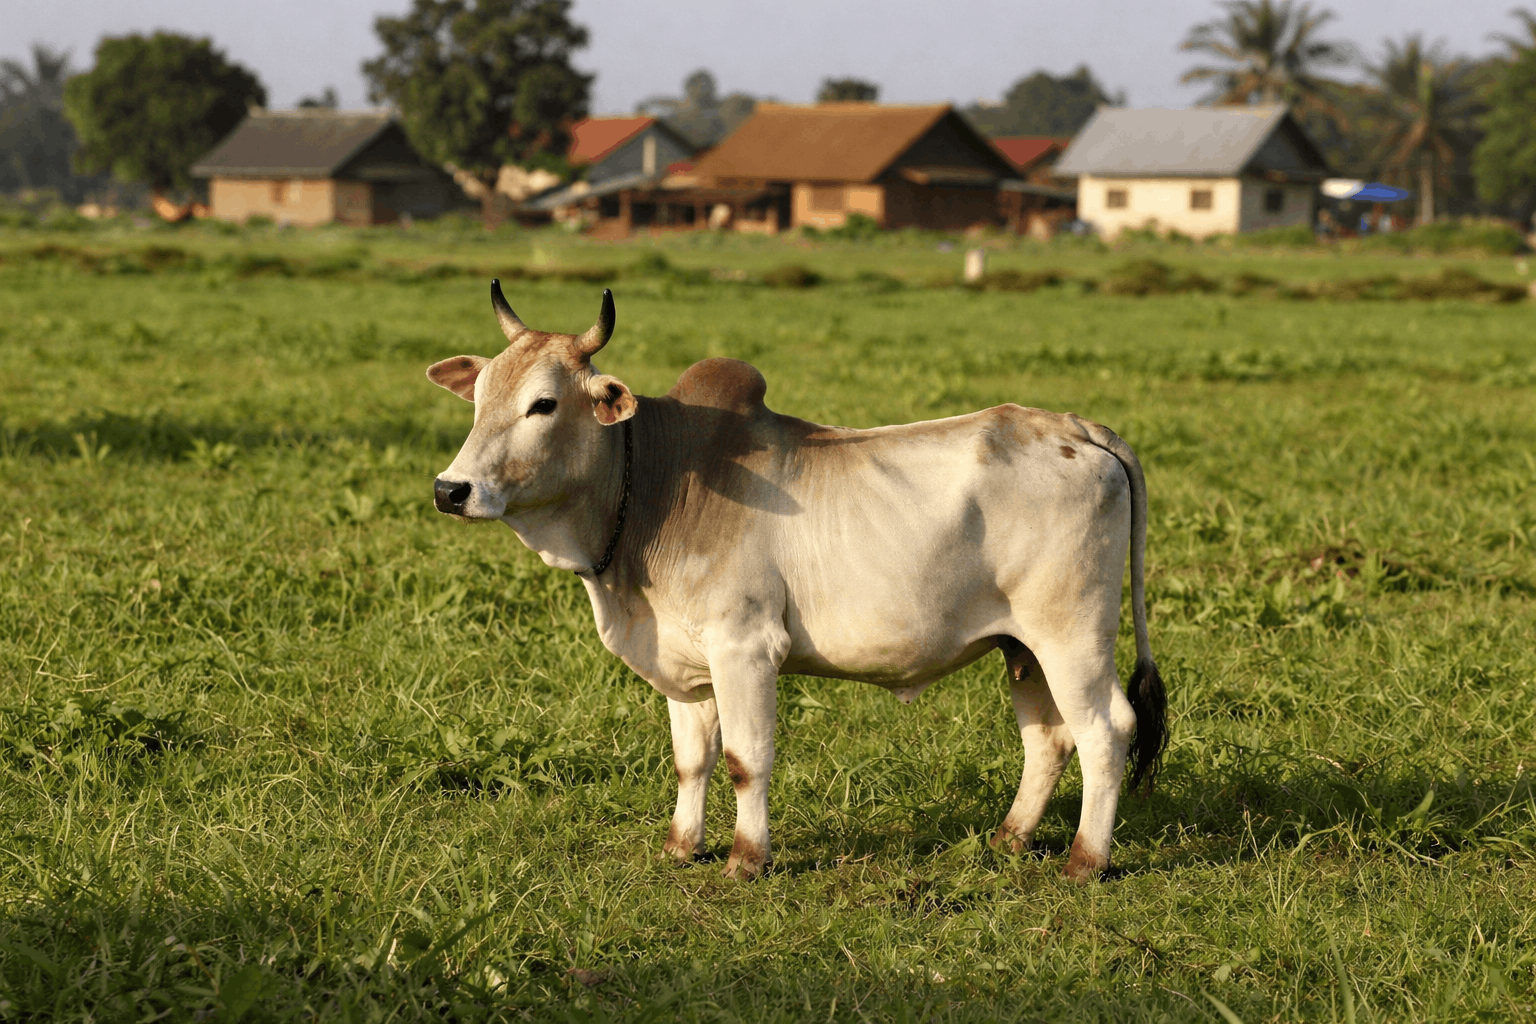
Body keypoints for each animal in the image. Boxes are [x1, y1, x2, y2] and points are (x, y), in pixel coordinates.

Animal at [427, 282, 1166, 881]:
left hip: (1072, 638)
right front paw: (681, 847)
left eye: (543, 405)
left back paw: (1085, 861)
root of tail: (1077, 428)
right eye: (480, 399)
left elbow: (745, 759)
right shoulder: (684, 662)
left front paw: (745, 859)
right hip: (1025, 648)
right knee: (1049, 738)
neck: (652, 488)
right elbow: (692, 760)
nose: (450, 489)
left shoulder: (746, 648)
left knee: (1107, 732)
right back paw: (1009, 838)